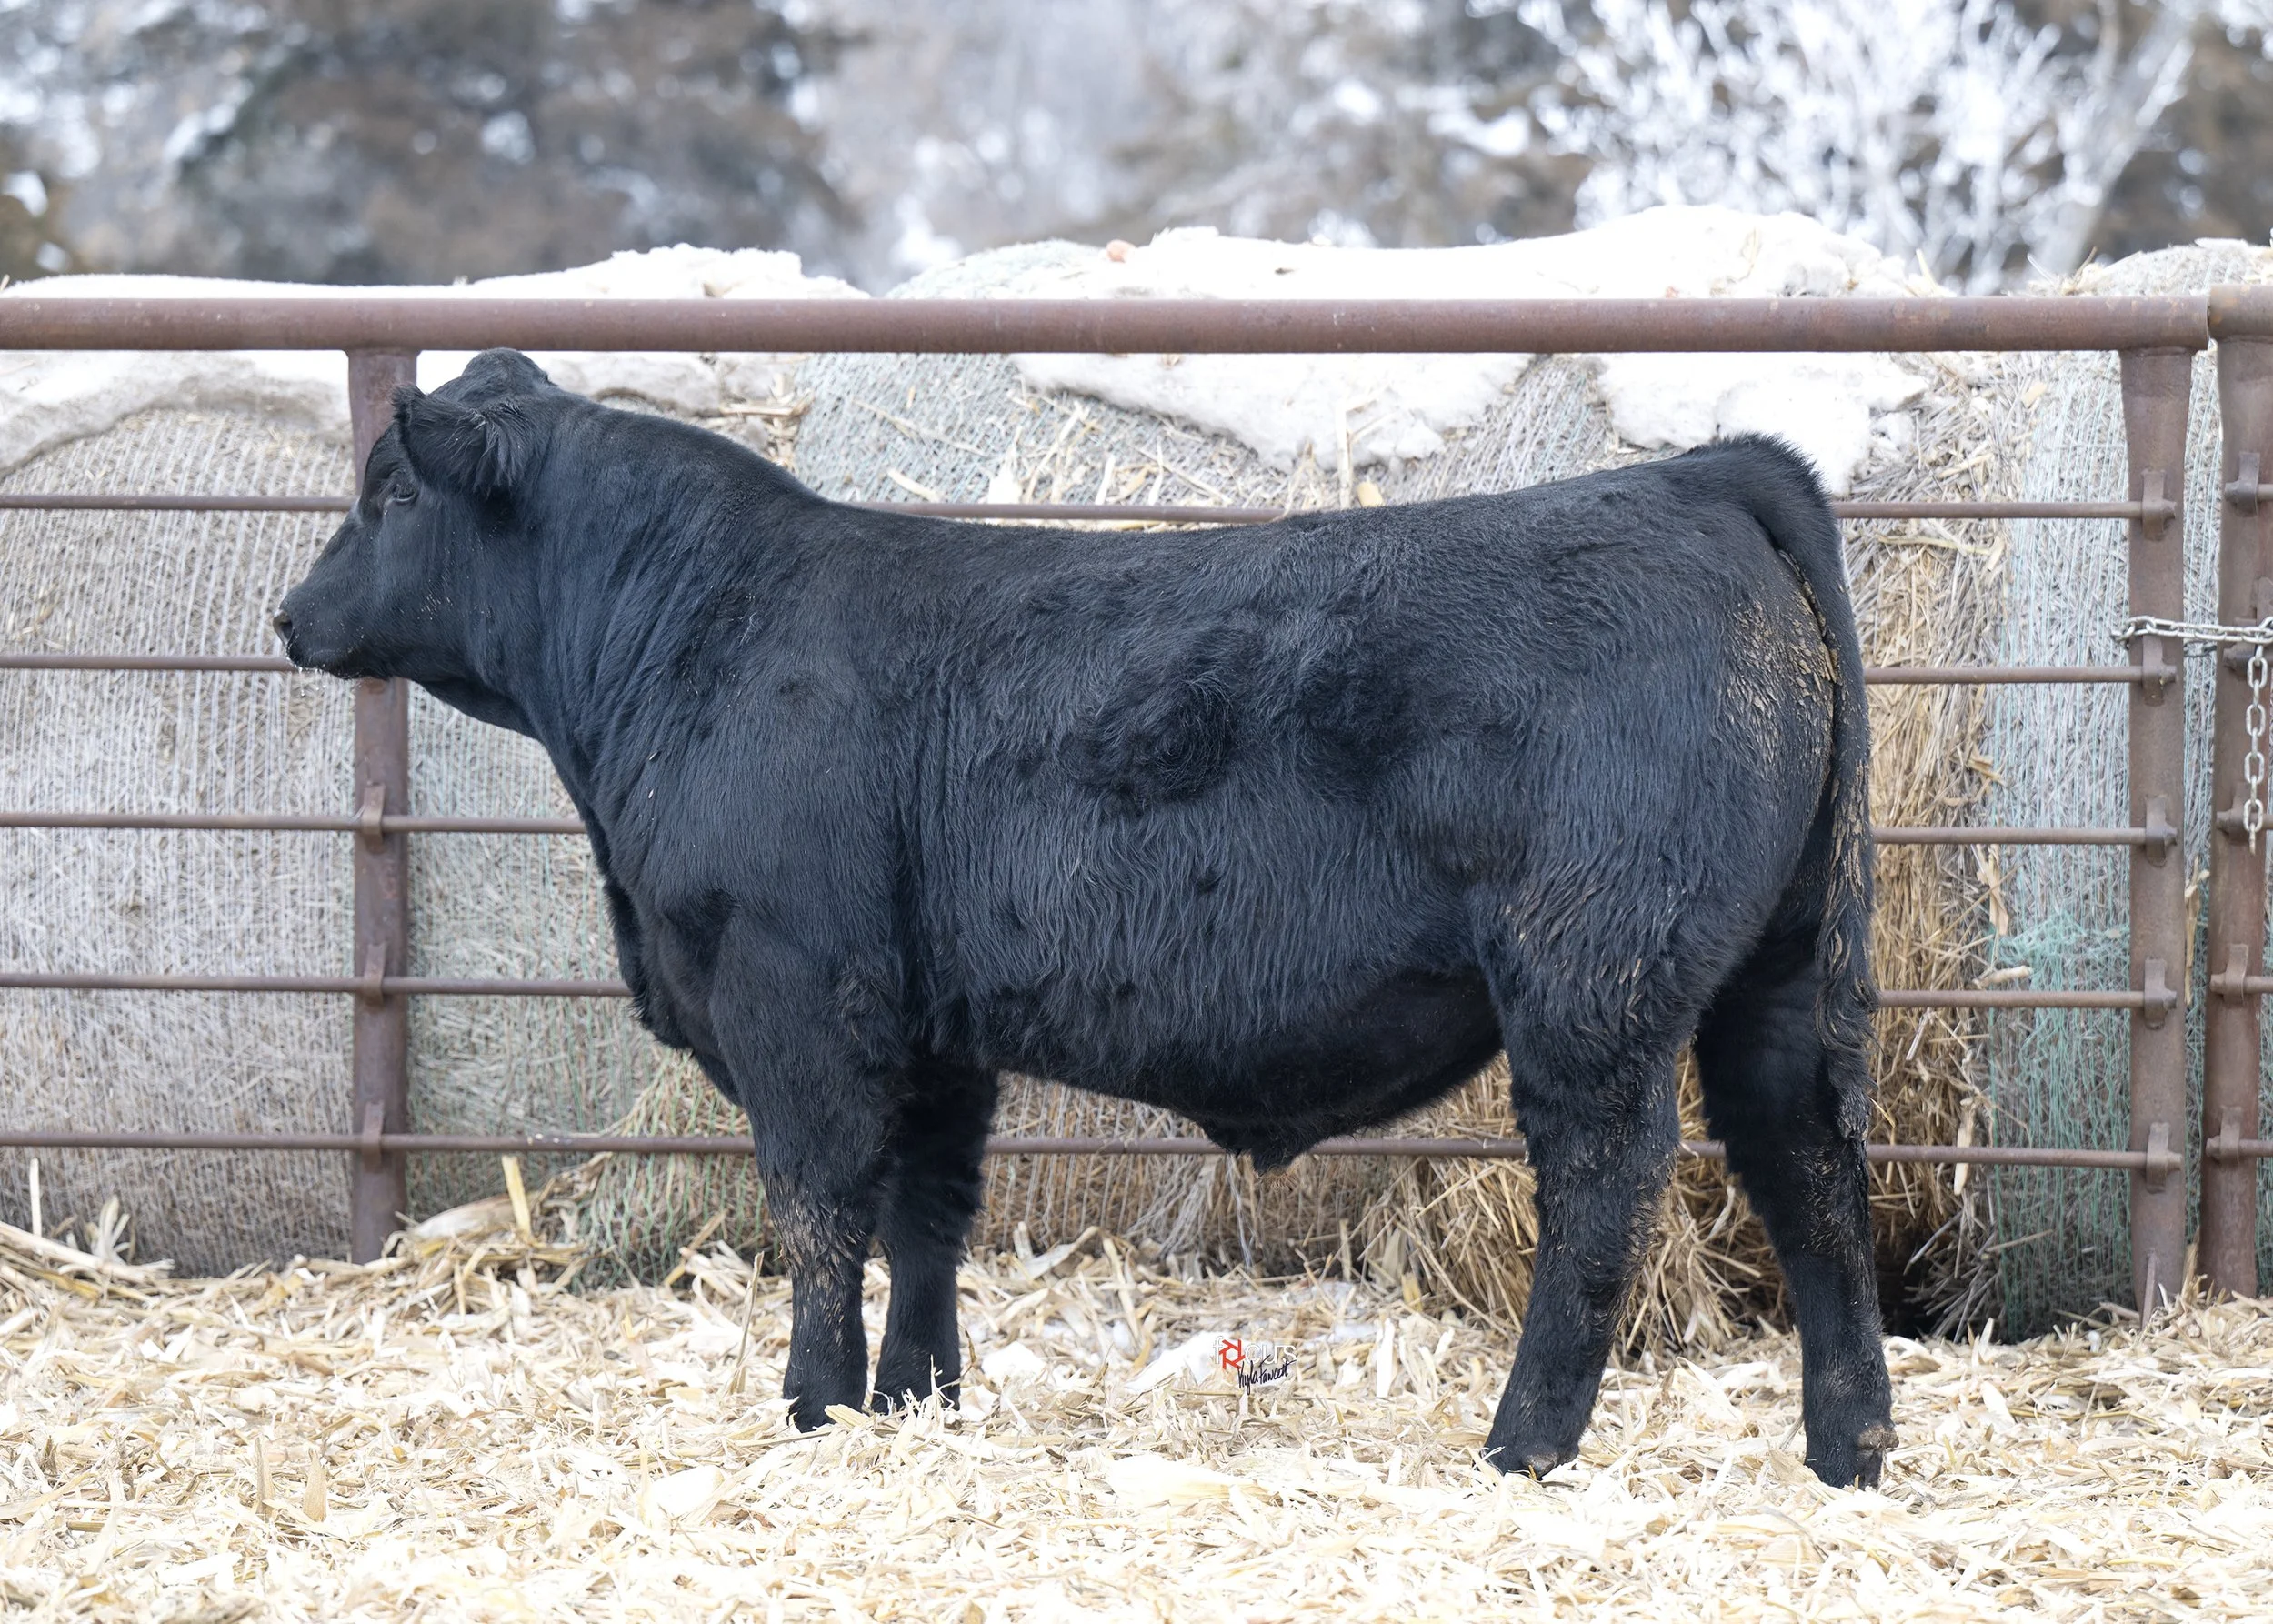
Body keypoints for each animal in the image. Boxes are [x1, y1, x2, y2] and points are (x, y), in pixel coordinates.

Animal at [275, 348, 1896, 1487]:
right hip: (1777, 970)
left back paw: (1525, 1444)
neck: (692, 643)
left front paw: (814, 1406)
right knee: (1810, 1167)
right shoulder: (932, 1021)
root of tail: (1699, 478)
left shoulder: (796, 992)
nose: (290, 616)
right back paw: (1851, 1445)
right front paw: (916, 1398)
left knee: (1608, 1187)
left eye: (392, 494)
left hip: (1593, 978)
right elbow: (928, 1208)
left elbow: (817, 1204)